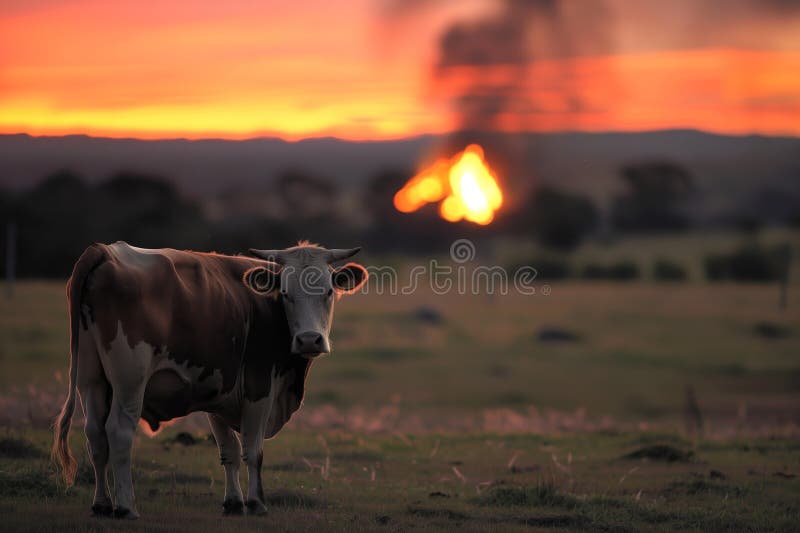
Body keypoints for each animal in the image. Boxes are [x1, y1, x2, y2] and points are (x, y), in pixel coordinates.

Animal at [52, 241, 368, 519]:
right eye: (286, 294)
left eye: (328, 292)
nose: (309, 340)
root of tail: (104, 251)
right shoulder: (259, 387)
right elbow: (252, 451)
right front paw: (256, 502)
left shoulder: (220, 393)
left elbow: (229, 450)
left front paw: (233, 503)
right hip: (129, 380)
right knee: (118, 432)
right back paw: (126, 507)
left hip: (91, 380)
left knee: (95, 436)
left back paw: (102, 504)